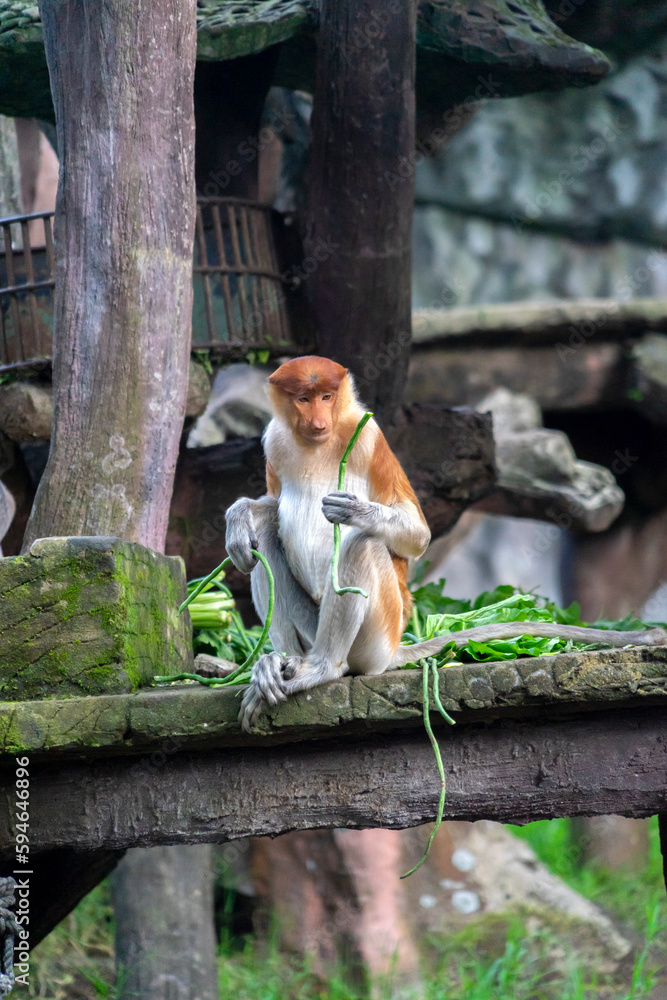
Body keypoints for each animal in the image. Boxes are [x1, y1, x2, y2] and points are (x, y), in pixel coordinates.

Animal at [225, 356, 667, 731]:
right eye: (303, 398)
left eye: (327, 397)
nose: (317, 420)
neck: (317, 444)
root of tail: (393, 650)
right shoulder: (274, 440)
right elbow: (270, 507)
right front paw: (239, 517)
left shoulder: (368, 437)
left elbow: (417, 535)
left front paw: (353, 511)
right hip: (312, 626)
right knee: (264, 542)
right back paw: (279, 662)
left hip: (377, 636)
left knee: (361, 546)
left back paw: (322, 668)